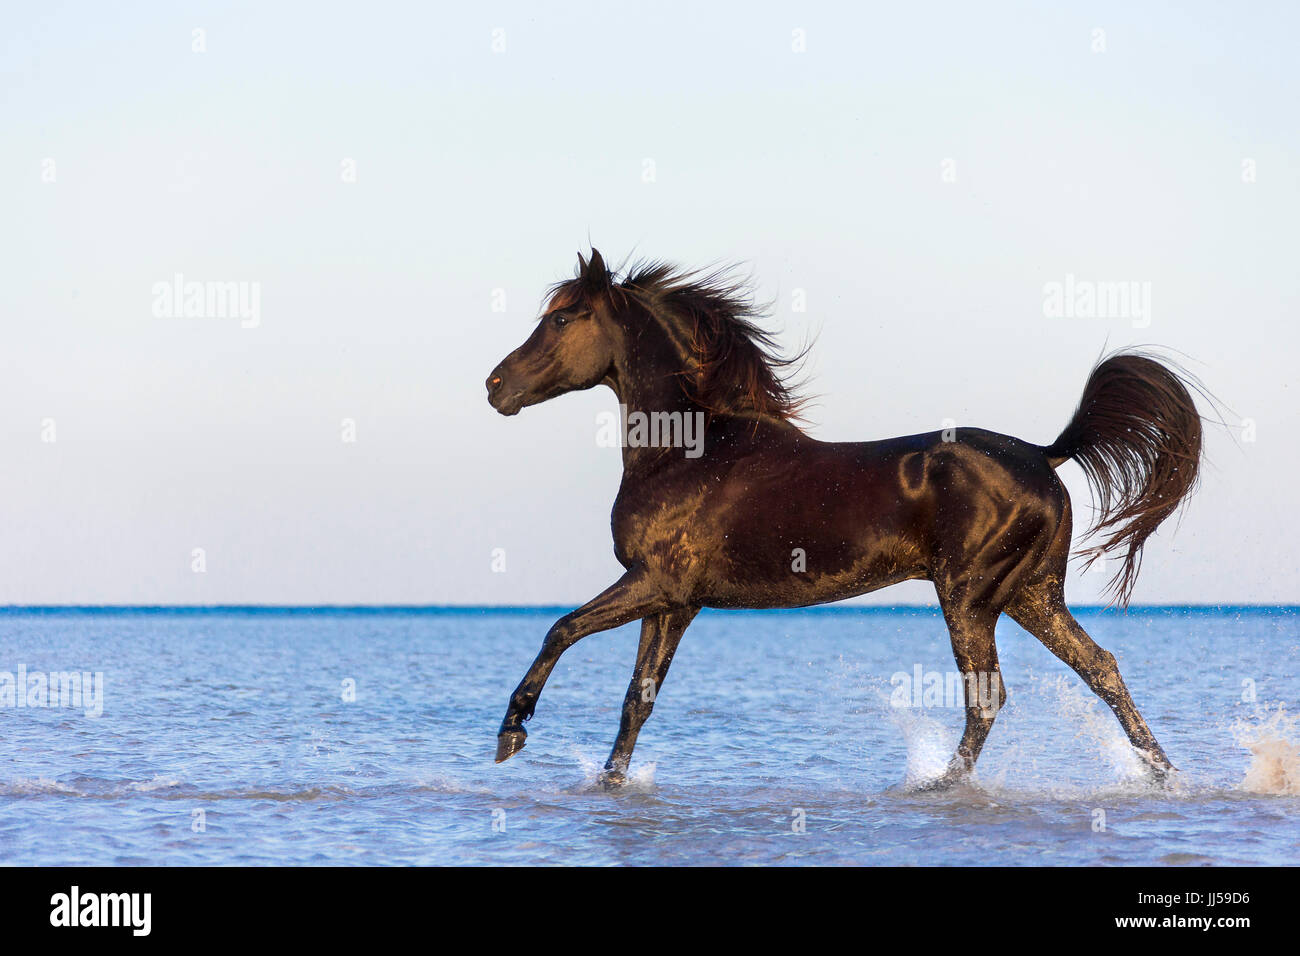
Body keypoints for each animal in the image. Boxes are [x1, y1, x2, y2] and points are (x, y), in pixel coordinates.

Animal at [485, 249, 1203, 789]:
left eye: (565, 316)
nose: (494, 386)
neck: (690, 450)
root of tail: (1045, 454)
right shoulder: (674, 603)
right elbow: (637, 698)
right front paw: (609, 781)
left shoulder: (653, 583)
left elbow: (561, 628)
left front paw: (511, 734)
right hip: (1030, 595)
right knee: (1101, 667)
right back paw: (1165, 775)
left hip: (969, 597)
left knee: (988, 697)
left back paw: (939, 784)